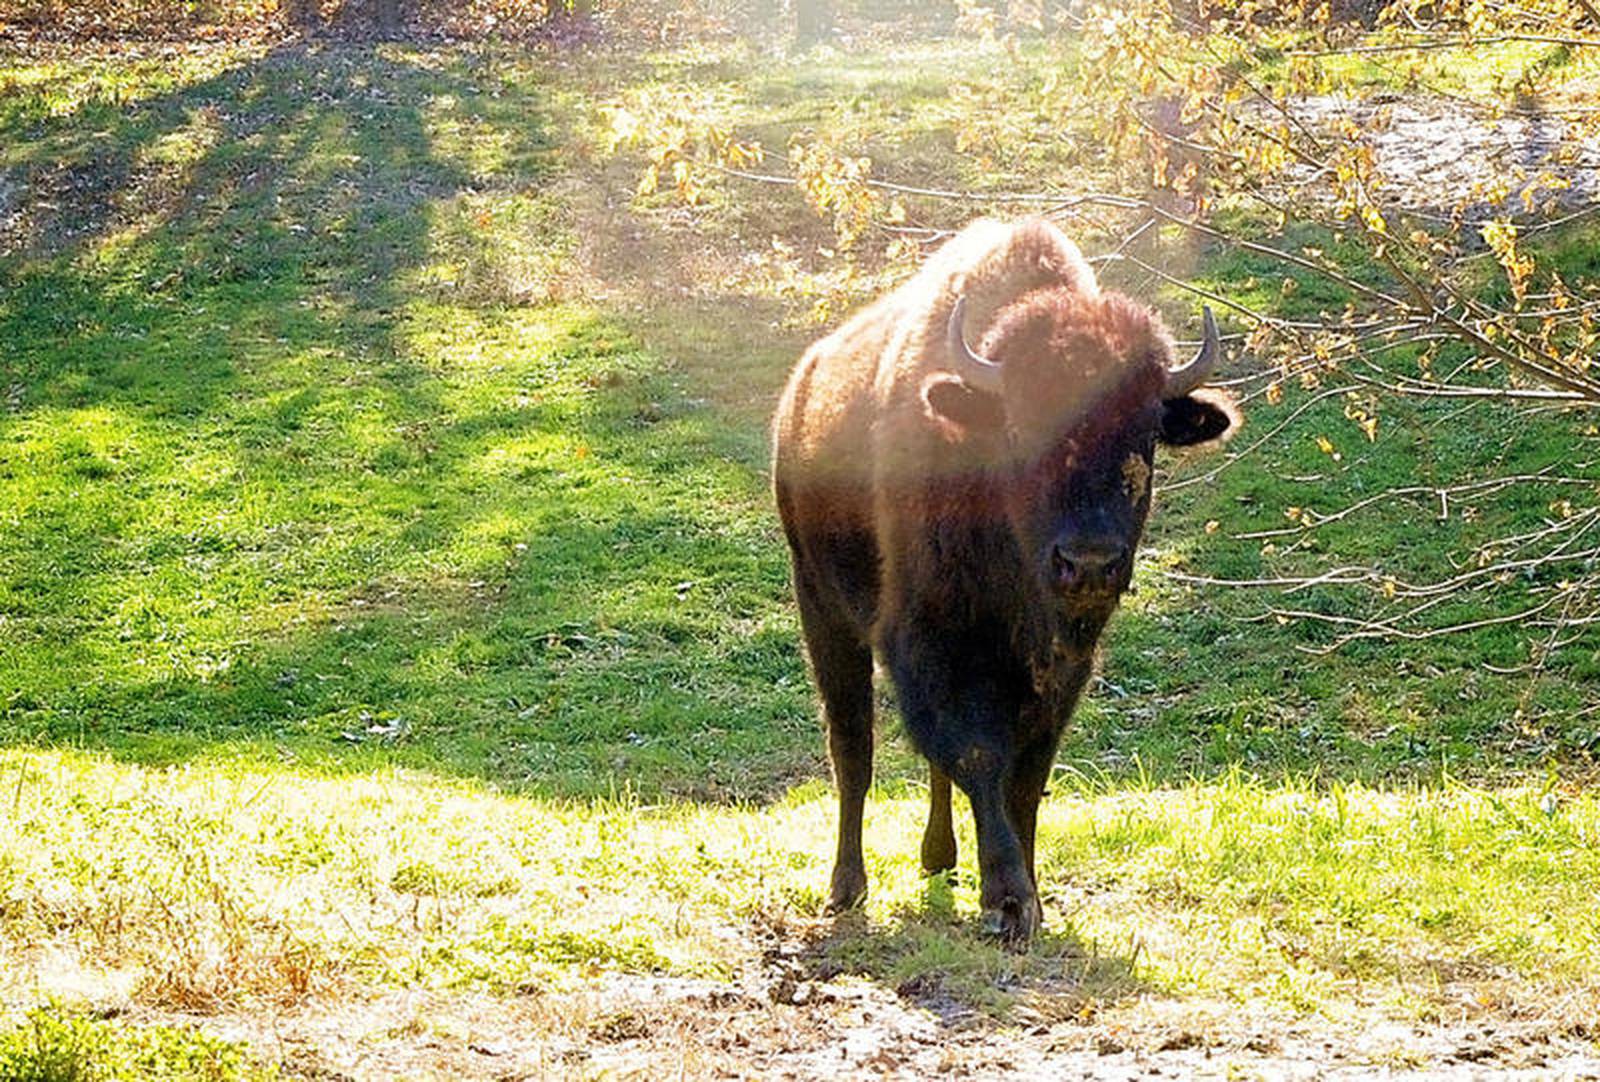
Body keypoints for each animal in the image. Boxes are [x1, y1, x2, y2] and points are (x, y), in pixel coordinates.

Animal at [771, 218, 1240, 941]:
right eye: (1020, 425)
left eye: (1145, 433)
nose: (1089, 563)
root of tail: (801, 386)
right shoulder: (933, 640)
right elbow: (978, 756)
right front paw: (1009, 901)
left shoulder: (1060, 667)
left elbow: (1025, 775)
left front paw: (1033, 892)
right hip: (823, 609)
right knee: (853, 747)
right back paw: (847, 888)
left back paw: (938, 858)